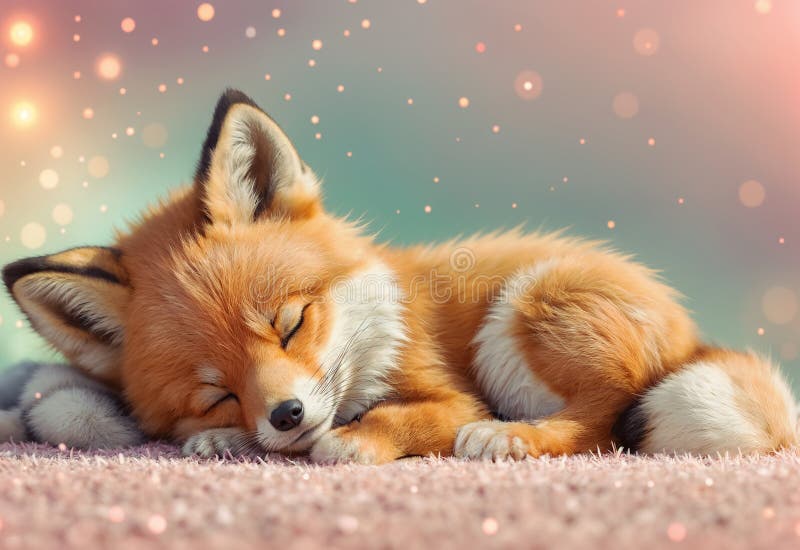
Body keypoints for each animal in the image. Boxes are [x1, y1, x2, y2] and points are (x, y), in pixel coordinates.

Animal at [2, 89, 797, 462]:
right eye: (216, 391)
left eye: (290, 324)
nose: (287, 413)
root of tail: (689, 330)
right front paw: (228, 440)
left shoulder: (453, 396)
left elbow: (401, 417)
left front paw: (353, 440)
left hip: (526, 310)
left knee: (606, 421)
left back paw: (515, 438)